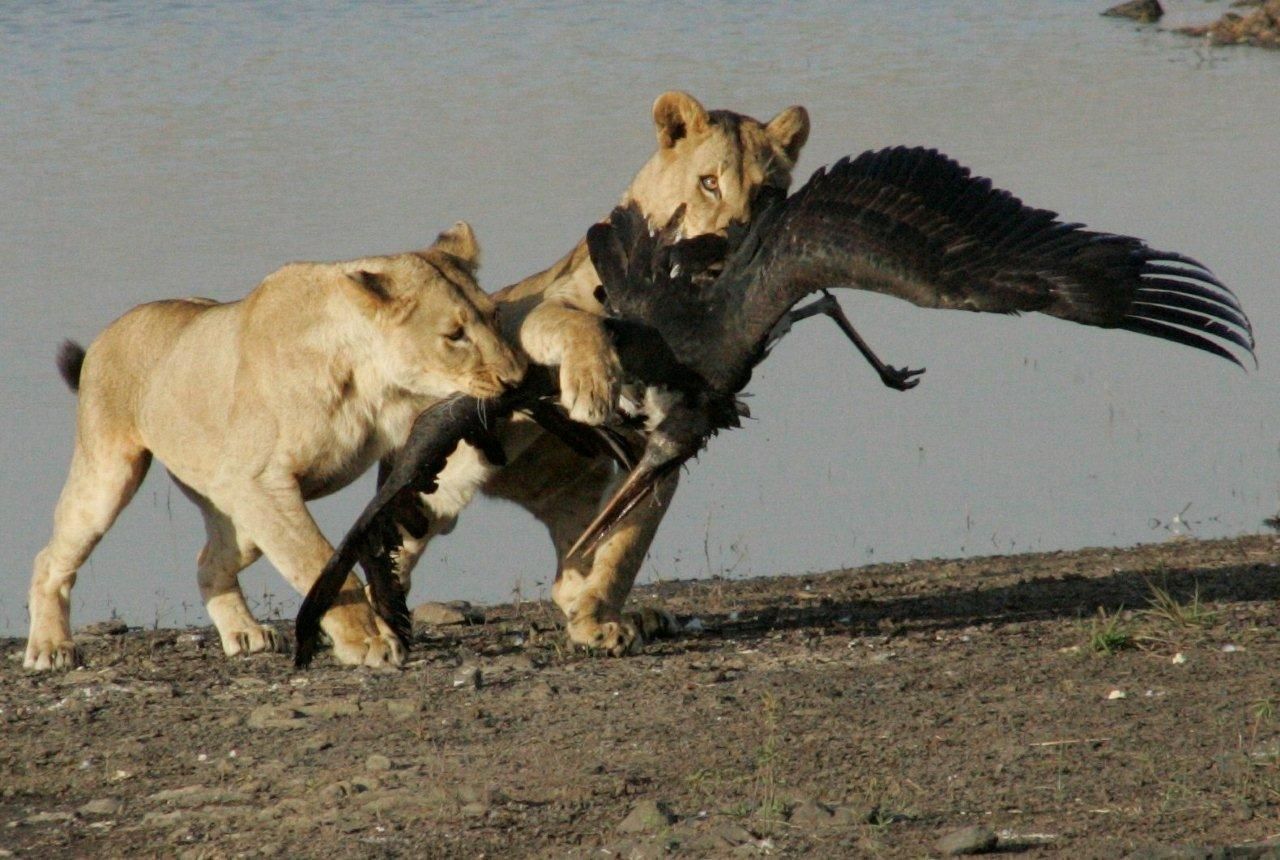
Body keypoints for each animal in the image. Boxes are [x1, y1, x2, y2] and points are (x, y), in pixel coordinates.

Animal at [24, 223, 525, 671]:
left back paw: (244, 633)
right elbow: (317, 559)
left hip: (237, 519)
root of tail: (108, 333)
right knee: (52, 557)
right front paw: (367, 640)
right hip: (110, 476)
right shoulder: (258, 481)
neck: (373, 380)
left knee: (208, 561)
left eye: (495, 317)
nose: (516, 380)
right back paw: (50, 648)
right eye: (455, 335)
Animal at [387, 92, 810, 655]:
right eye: (709, 182)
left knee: (571, 565)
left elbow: (625, 543)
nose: (733, 243)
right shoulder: (536, 314)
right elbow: (578, 324)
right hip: (433, 491)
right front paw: (592, 386)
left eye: (766, 193)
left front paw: (598, 620)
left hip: (573, 486)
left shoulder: (658, 447)